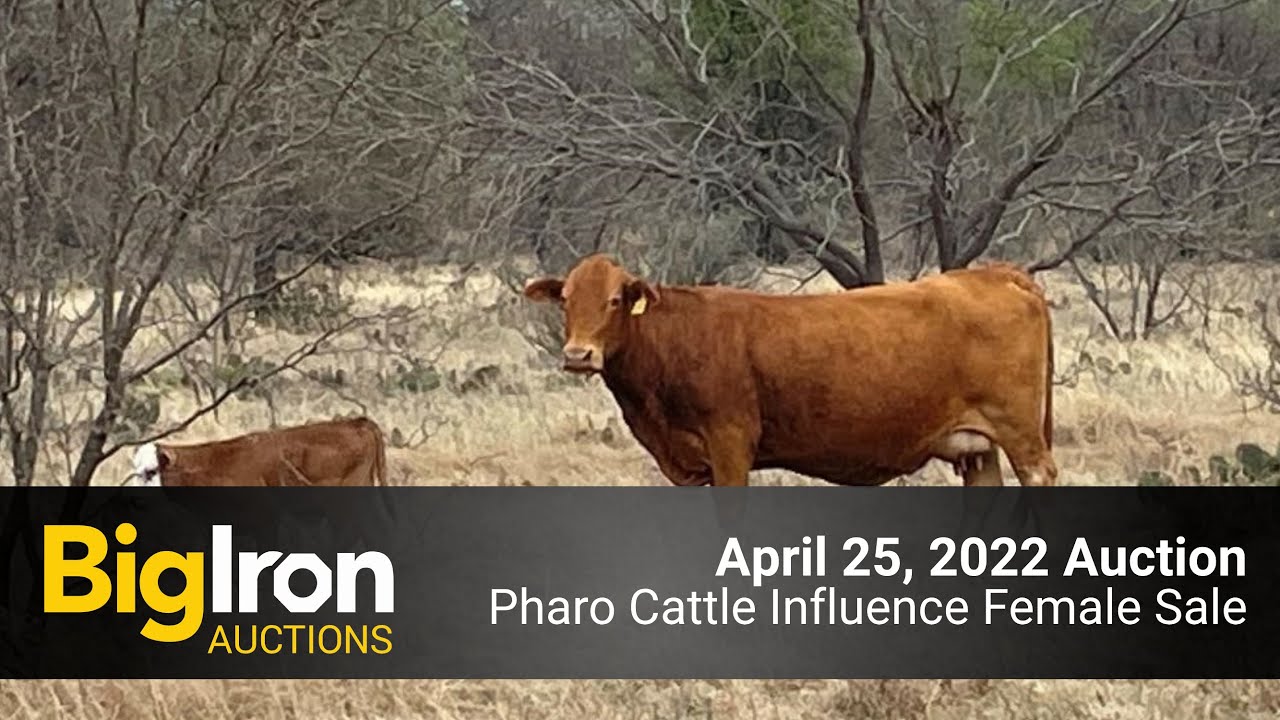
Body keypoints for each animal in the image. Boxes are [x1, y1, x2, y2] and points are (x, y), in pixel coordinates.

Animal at [523, 254, 1057, 488]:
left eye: (614, 300)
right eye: (565, 299)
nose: (578, 355)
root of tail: (993, 273)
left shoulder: (731, 444)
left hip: (1020, 434)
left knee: (1039, 477)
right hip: (977, 447)